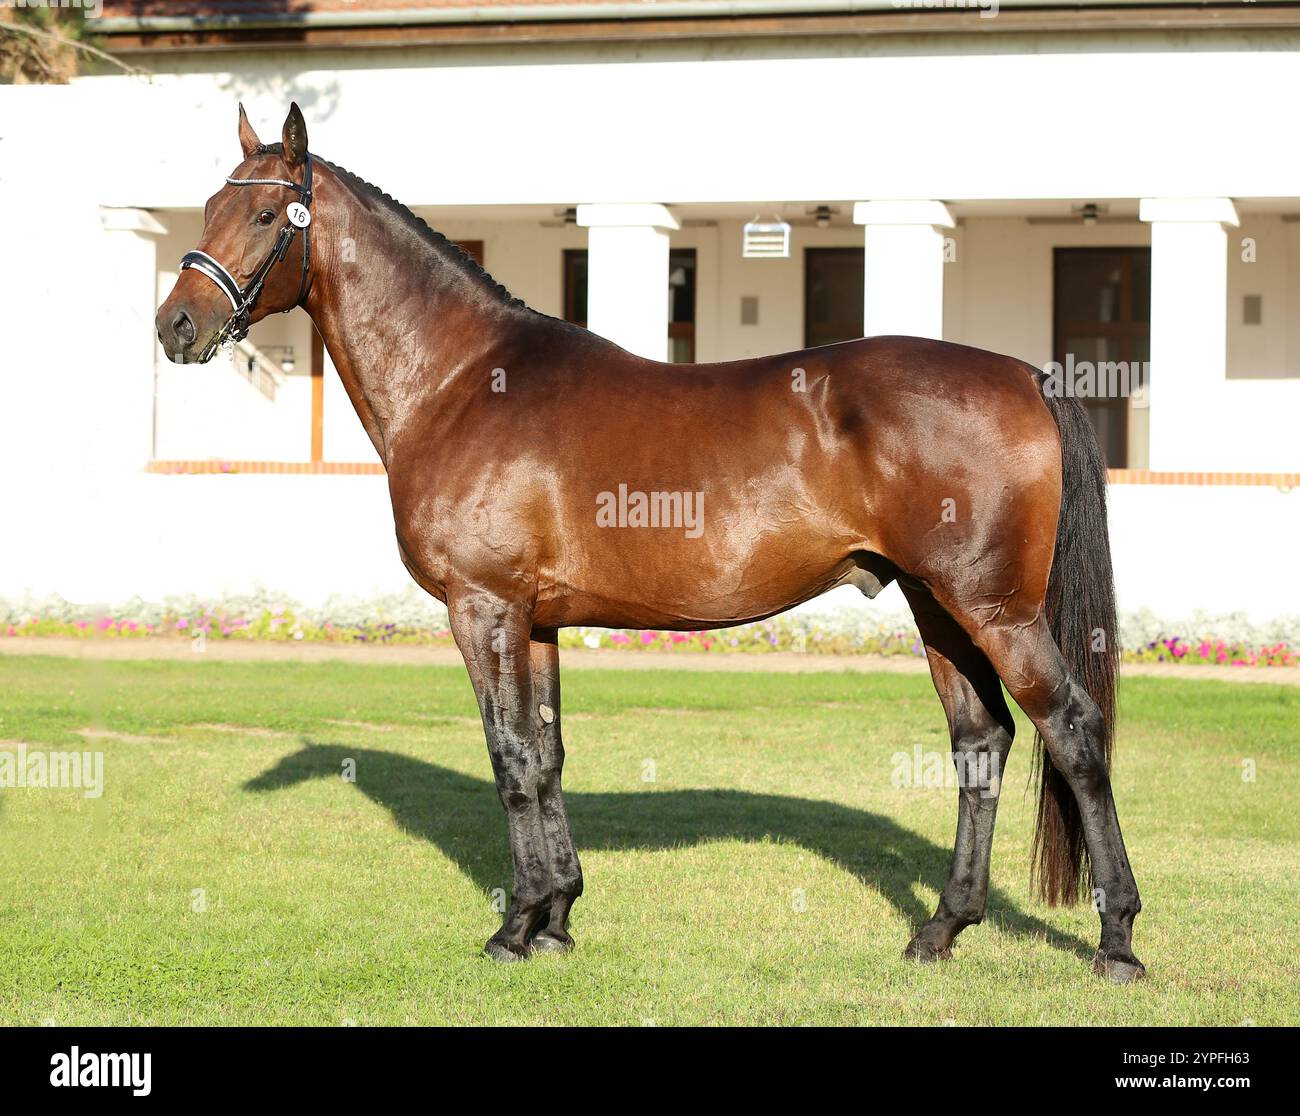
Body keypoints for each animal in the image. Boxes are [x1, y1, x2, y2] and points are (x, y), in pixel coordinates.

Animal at [156, 104, 1143, 982]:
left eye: (264, 215)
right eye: (205, 208)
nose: (176, 326)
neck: (464, 380)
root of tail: (1025, 374)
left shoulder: (484, 609)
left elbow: (509, 758)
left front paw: (513, 929)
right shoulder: (535, 620)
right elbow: (546, 755)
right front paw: (556, 918)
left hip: (995, 610)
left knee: (1072, 730)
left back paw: (1117, 942)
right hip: (938, 606)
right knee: (981, 741)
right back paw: (939, 931)